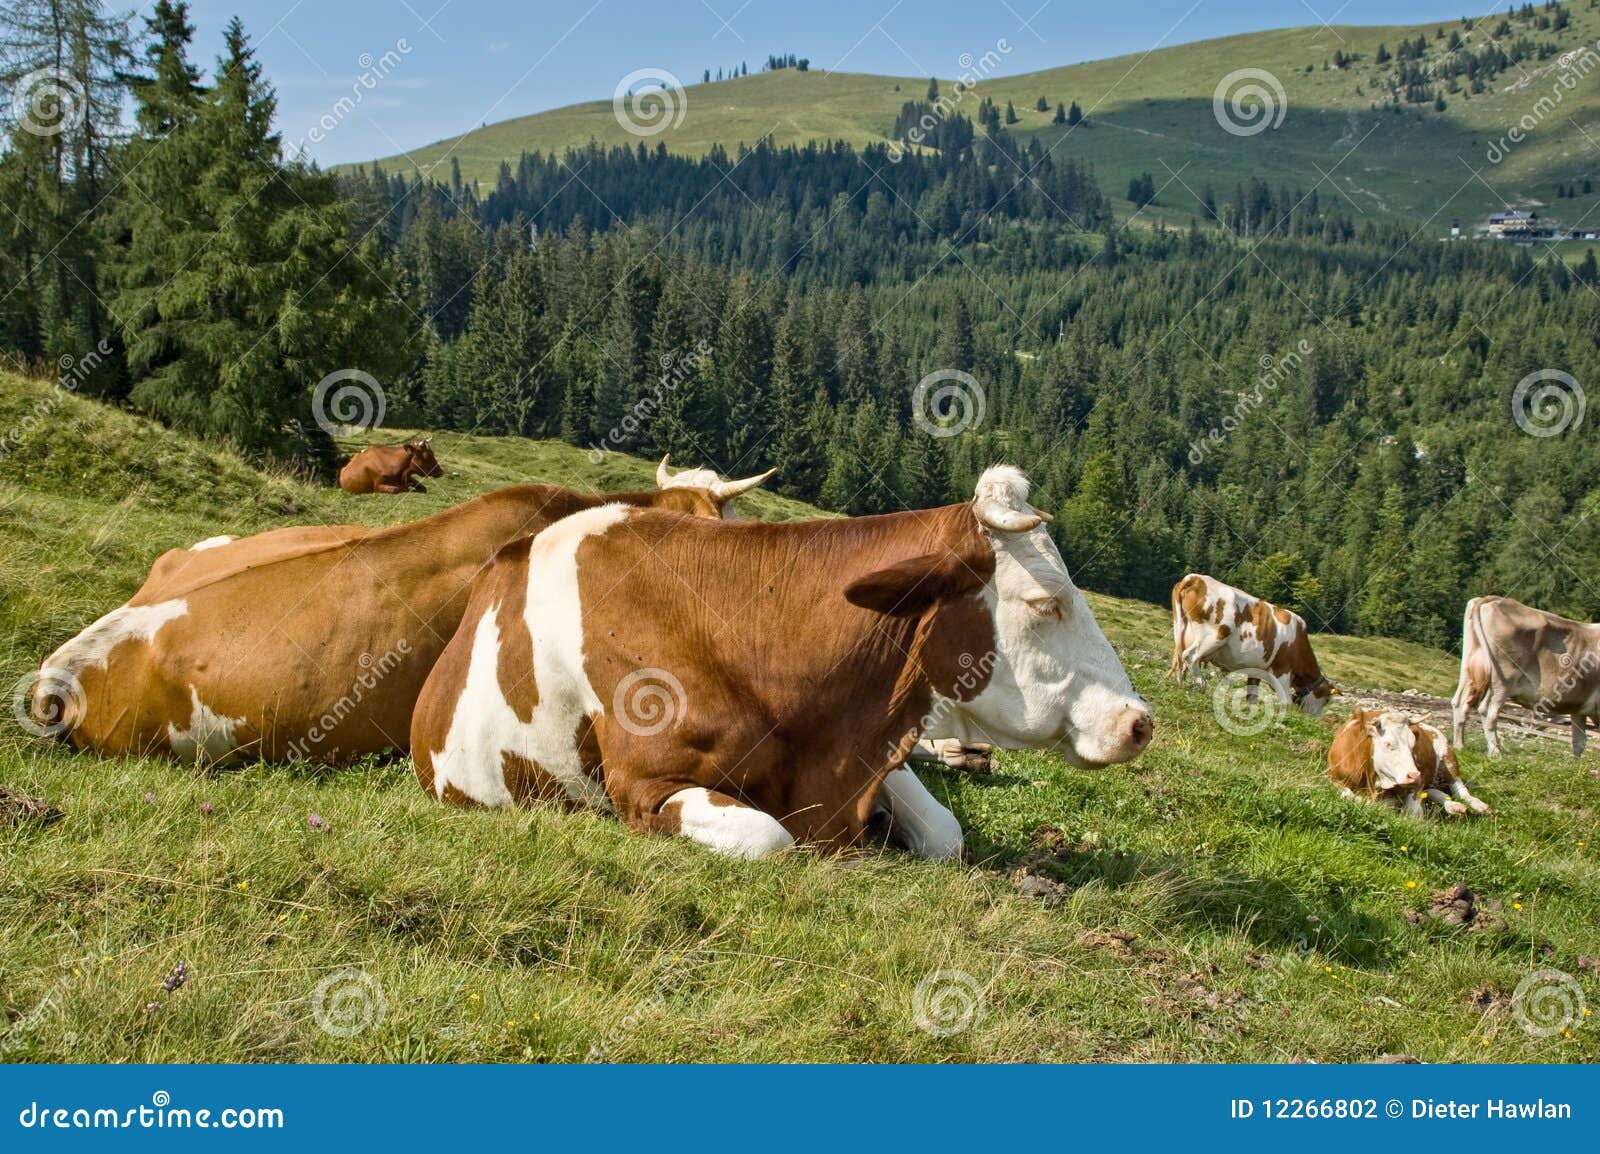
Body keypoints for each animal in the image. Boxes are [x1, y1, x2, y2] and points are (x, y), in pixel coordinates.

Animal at [412, 466, 1153, 860]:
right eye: (1045, 601)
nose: (1140, 721)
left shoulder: (871, 749)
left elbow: (944, 831)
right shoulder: (644, 788)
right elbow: (770, 837)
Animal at [1168, 573, 1337, 715]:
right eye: (1327, 699)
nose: (1315, 718)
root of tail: (1197, 578)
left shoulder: (1256, 671)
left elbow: (1252, 696)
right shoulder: (1281, 671)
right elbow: (1286, 701)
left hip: (1181, 631)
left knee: (1180, 660)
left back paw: (1180, 684)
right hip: (1214, 635)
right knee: (1190, 656)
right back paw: (1201, 685)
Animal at [1329, 709, 1490, 817]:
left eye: (1413, 744)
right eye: (1388, 744)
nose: (1414, 775)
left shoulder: (1418, 783)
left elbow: (1414, 812)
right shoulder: (1333, 778)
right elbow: (1348, 795)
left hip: (1448, 756)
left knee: (1459, 788)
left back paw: (1477, 805)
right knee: (1432, 790)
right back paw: (1453, 805)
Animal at [1452, 595, 1600, 758]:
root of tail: (1493, 599)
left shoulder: (1579, 709)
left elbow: (1579, 742)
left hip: (1470, 669)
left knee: (1459, 702)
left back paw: (1459, 746)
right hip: (1502, 680)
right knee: (1488, 711)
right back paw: (1496, 753)